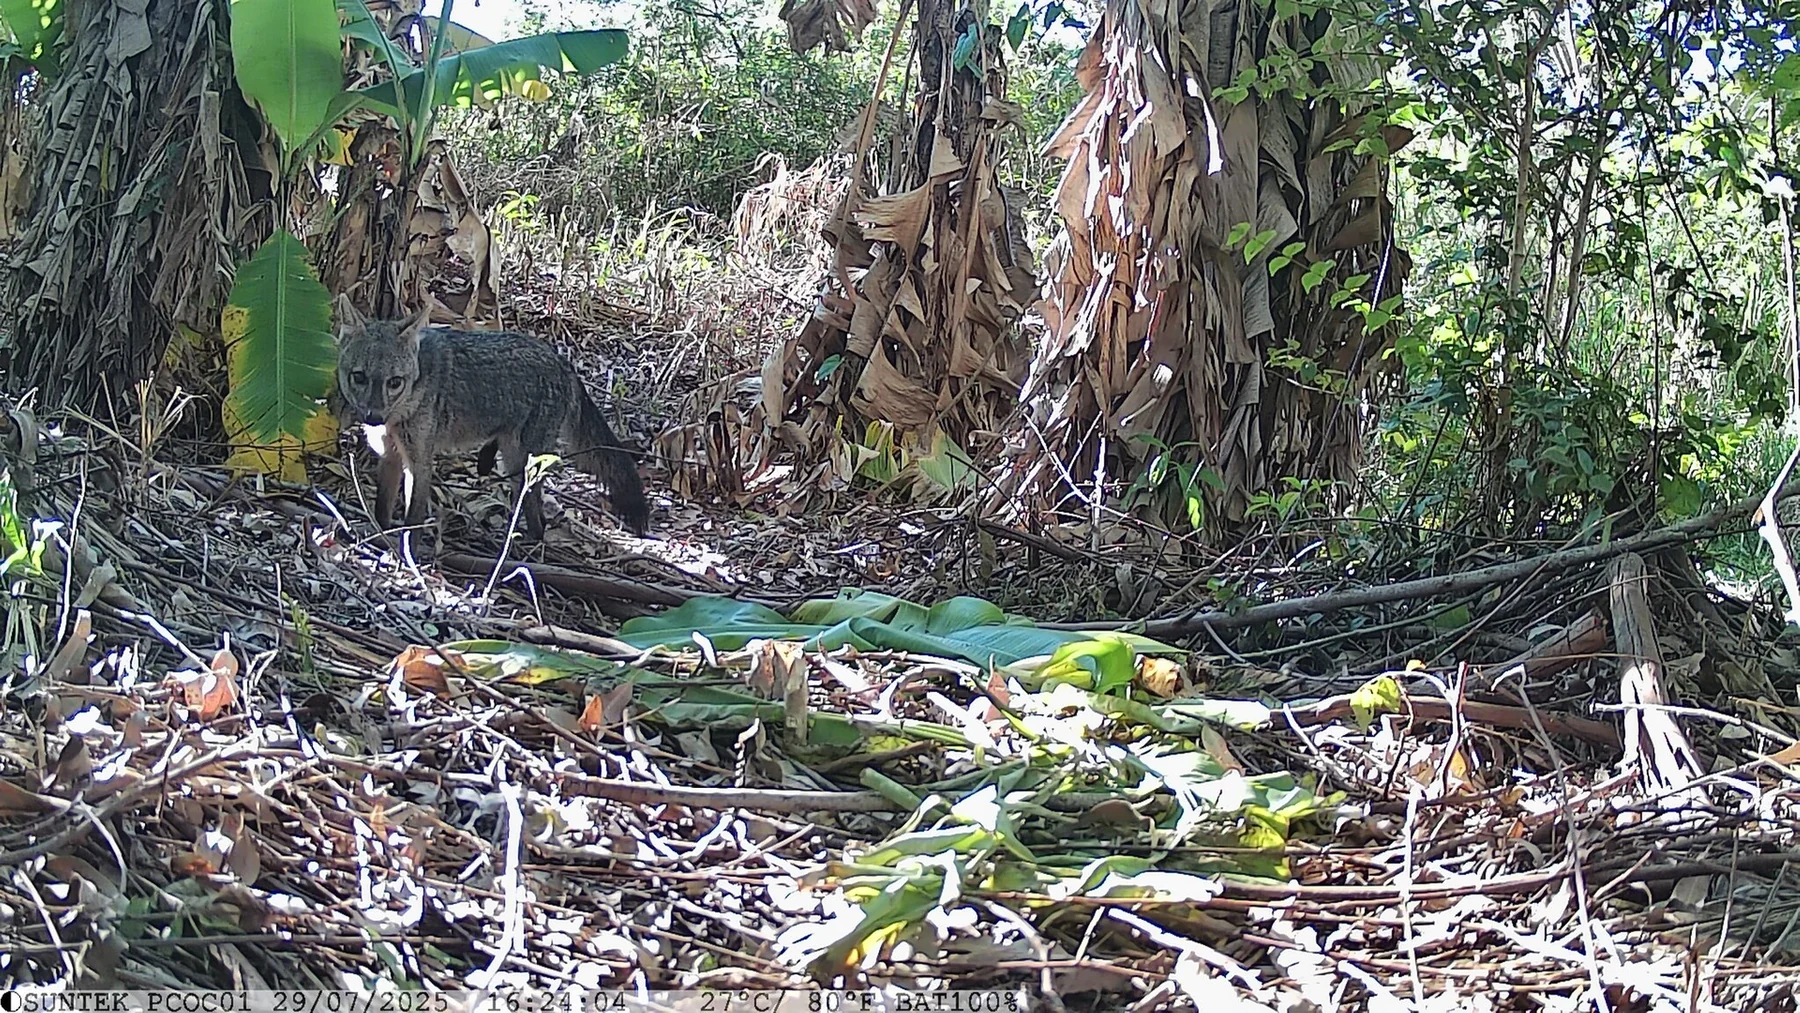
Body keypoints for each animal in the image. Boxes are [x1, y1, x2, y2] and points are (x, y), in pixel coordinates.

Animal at [332, 297, 650, 540]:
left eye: (394, 382)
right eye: (359, 377)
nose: (374, 416)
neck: (398, 416)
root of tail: (563, 361)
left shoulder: (420, 463)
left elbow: (413, 519)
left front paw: (406, 552)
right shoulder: (389, 457)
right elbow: (381, 508)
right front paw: (380, 536)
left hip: (523, 465)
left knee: (537, 518)